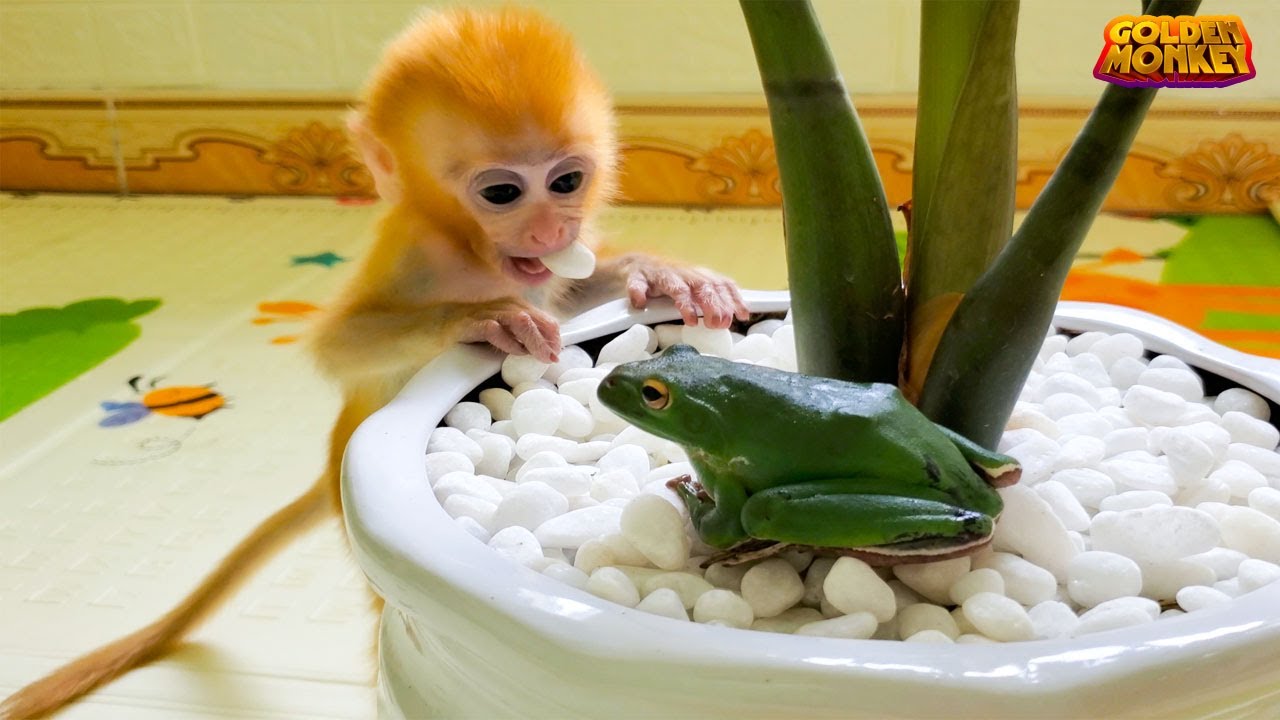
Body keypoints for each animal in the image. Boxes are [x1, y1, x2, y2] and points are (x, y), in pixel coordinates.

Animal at [0, 7, 748, 719]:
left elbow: (574, 293)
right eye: (503, 194)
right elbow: (342, 345)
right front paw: (488, 317)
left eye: (566, 181)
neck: (469, 249)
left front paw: (664, 275)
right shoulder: (413, 253)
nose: (550, 230)